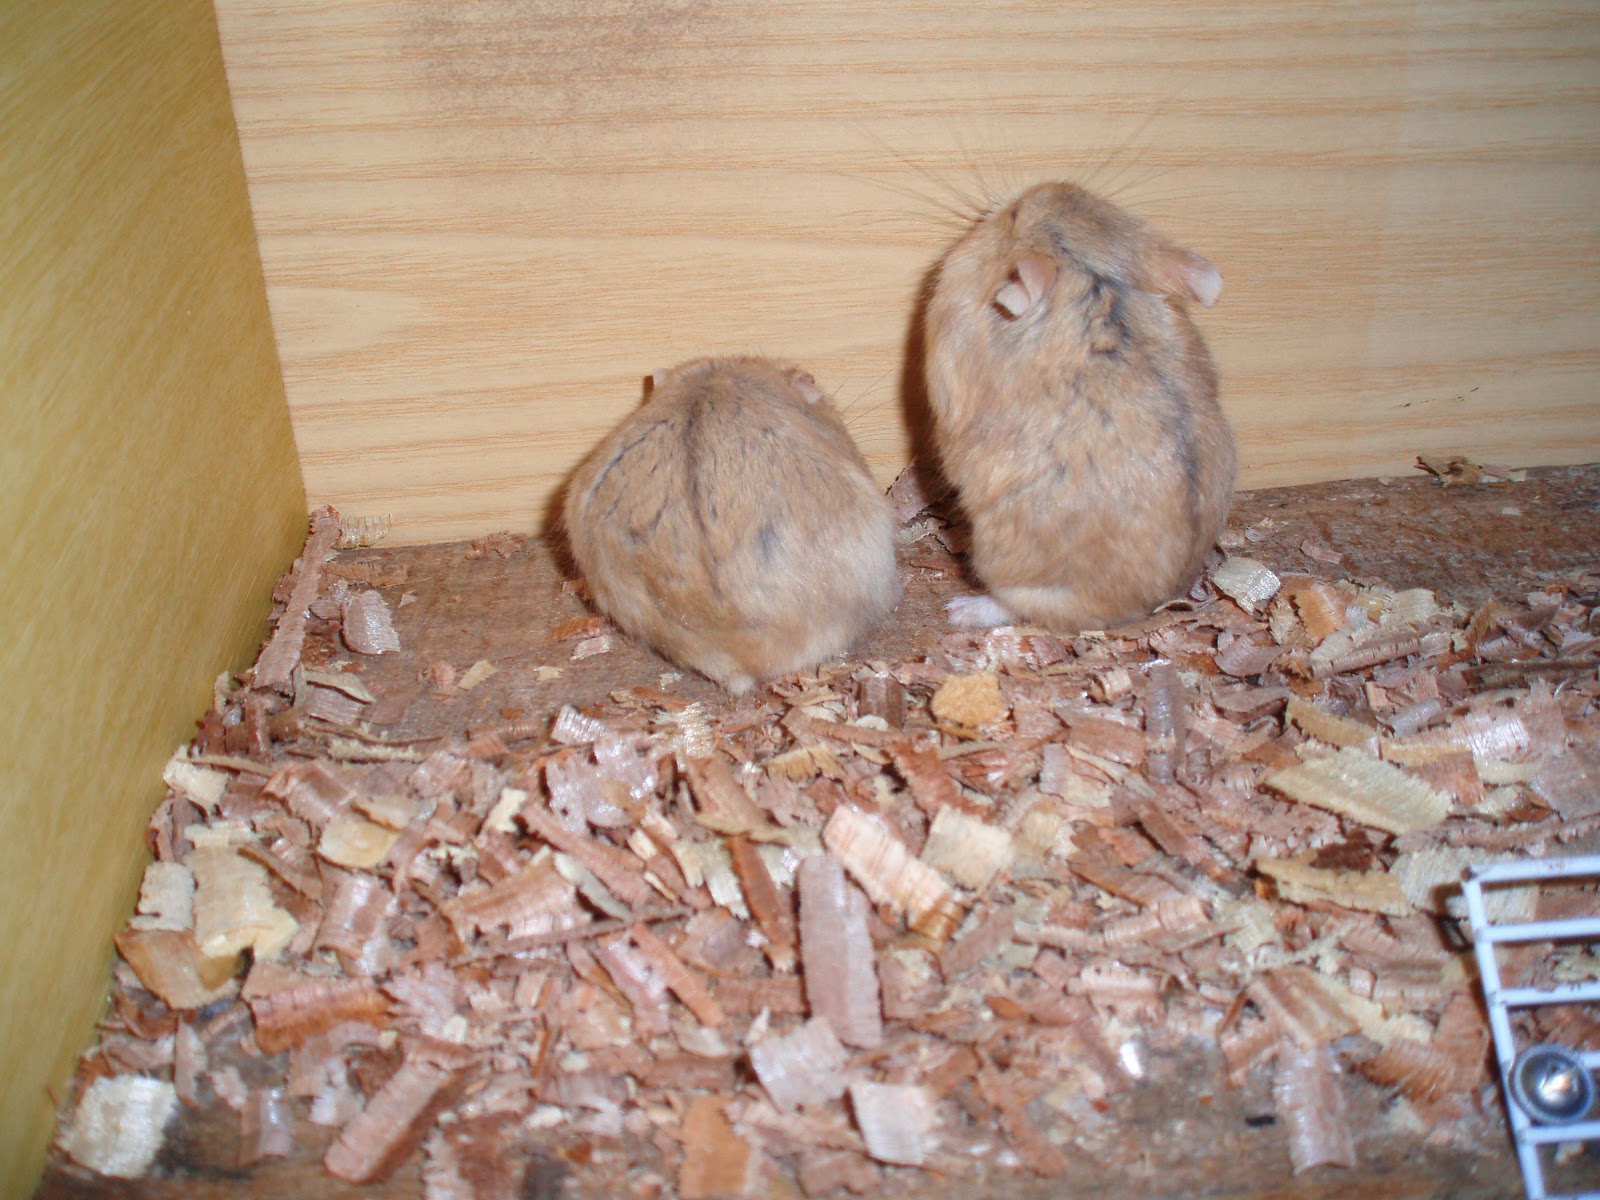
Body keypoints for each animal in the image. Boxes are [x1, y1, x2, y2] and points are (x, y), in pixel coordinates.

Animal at [922, 180, 1238, 634]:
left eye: (1014, 216)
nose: (1030, 191)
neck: (1092, 282)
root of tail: (1144, 606)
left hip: (1010, 566)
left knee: (1015, 605)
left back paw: (960, 610)